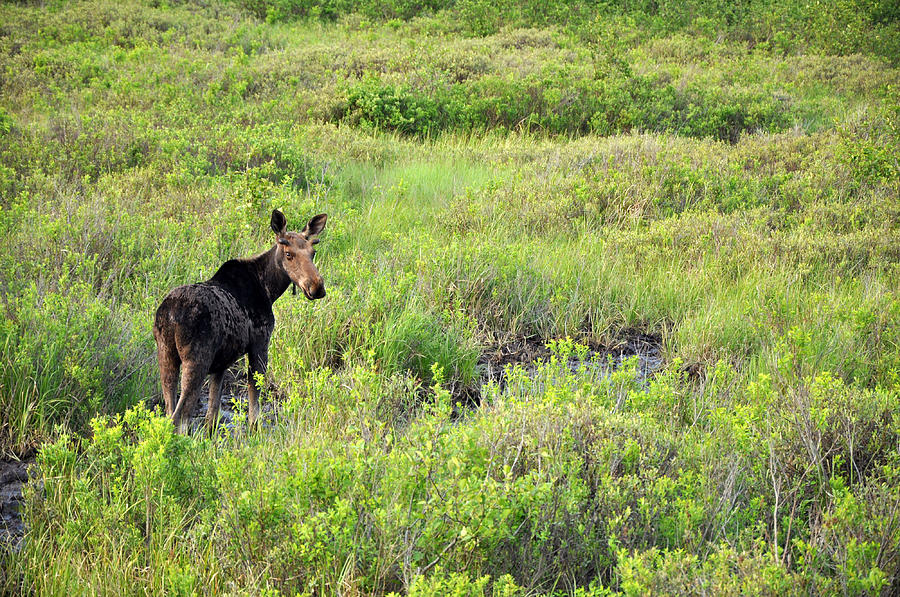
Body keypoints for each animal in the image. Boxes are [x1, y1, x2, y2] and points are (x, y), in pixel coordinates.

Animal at [153, 209, 327, 432]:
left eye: (313, 253)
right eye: (289, 254)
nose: (317, 287)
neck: (269, 289)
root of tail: (170, 316)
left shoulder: (220, 363)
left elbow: (212, 413)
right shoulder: (259, 344)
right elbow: (254, 397)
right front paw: (255, 429)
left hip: (166, 355)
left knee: (169, 410)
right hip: (196, 360)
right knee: (179, 417)